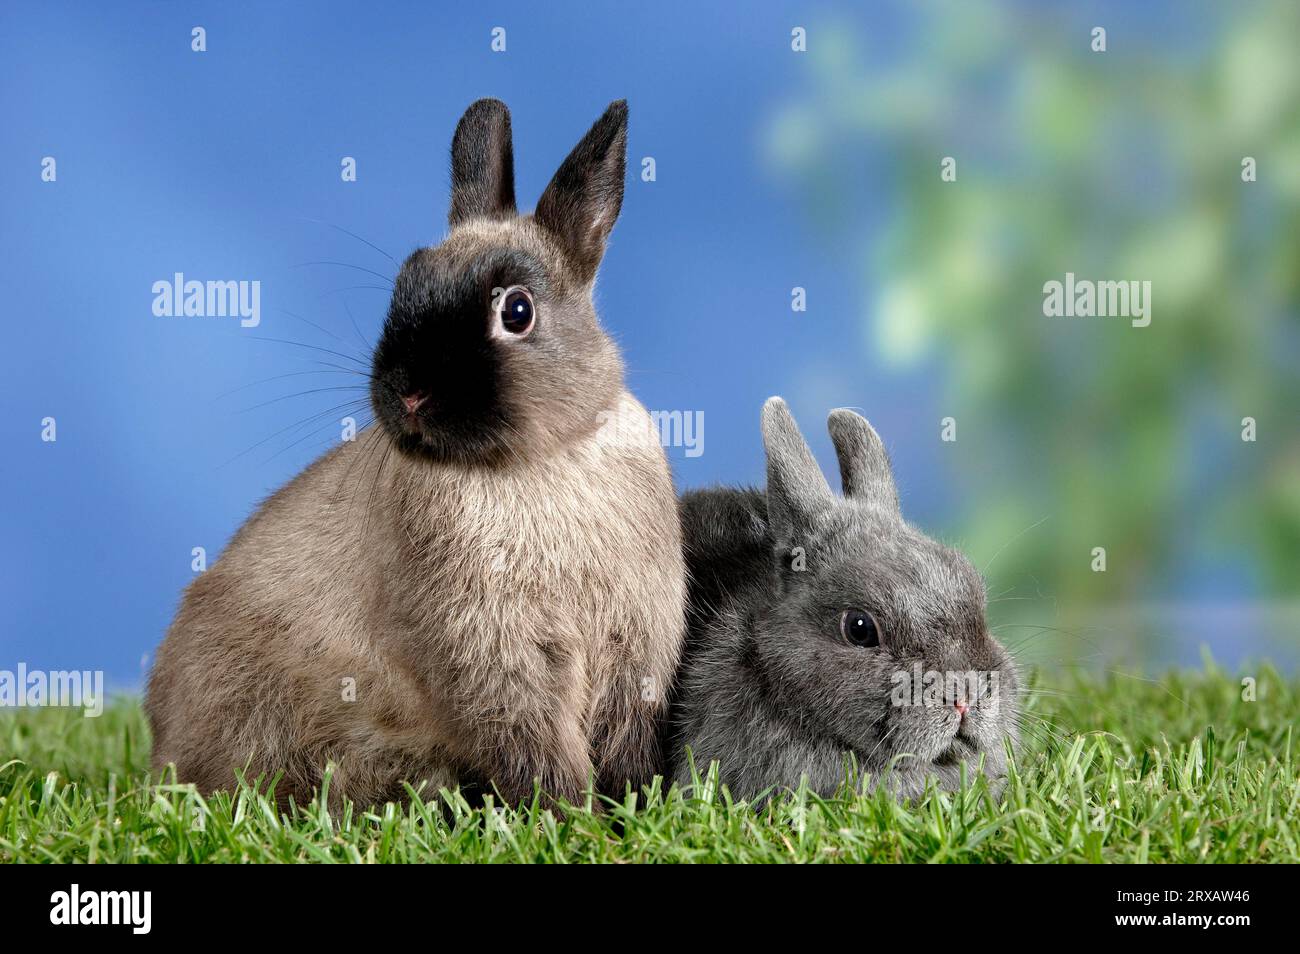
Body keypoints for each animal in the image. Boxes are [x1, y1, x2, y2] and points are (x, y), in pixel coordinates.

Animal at [146, 99, 686, 809]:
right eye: (405, 285)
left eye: (517, 311)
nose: (407, 391)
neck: (538, 460)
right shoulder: (490, 657)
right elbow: (534, 746)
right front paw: (570, 814)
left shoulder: (631, 655)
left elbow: (620, 746)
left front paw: (622, 810)